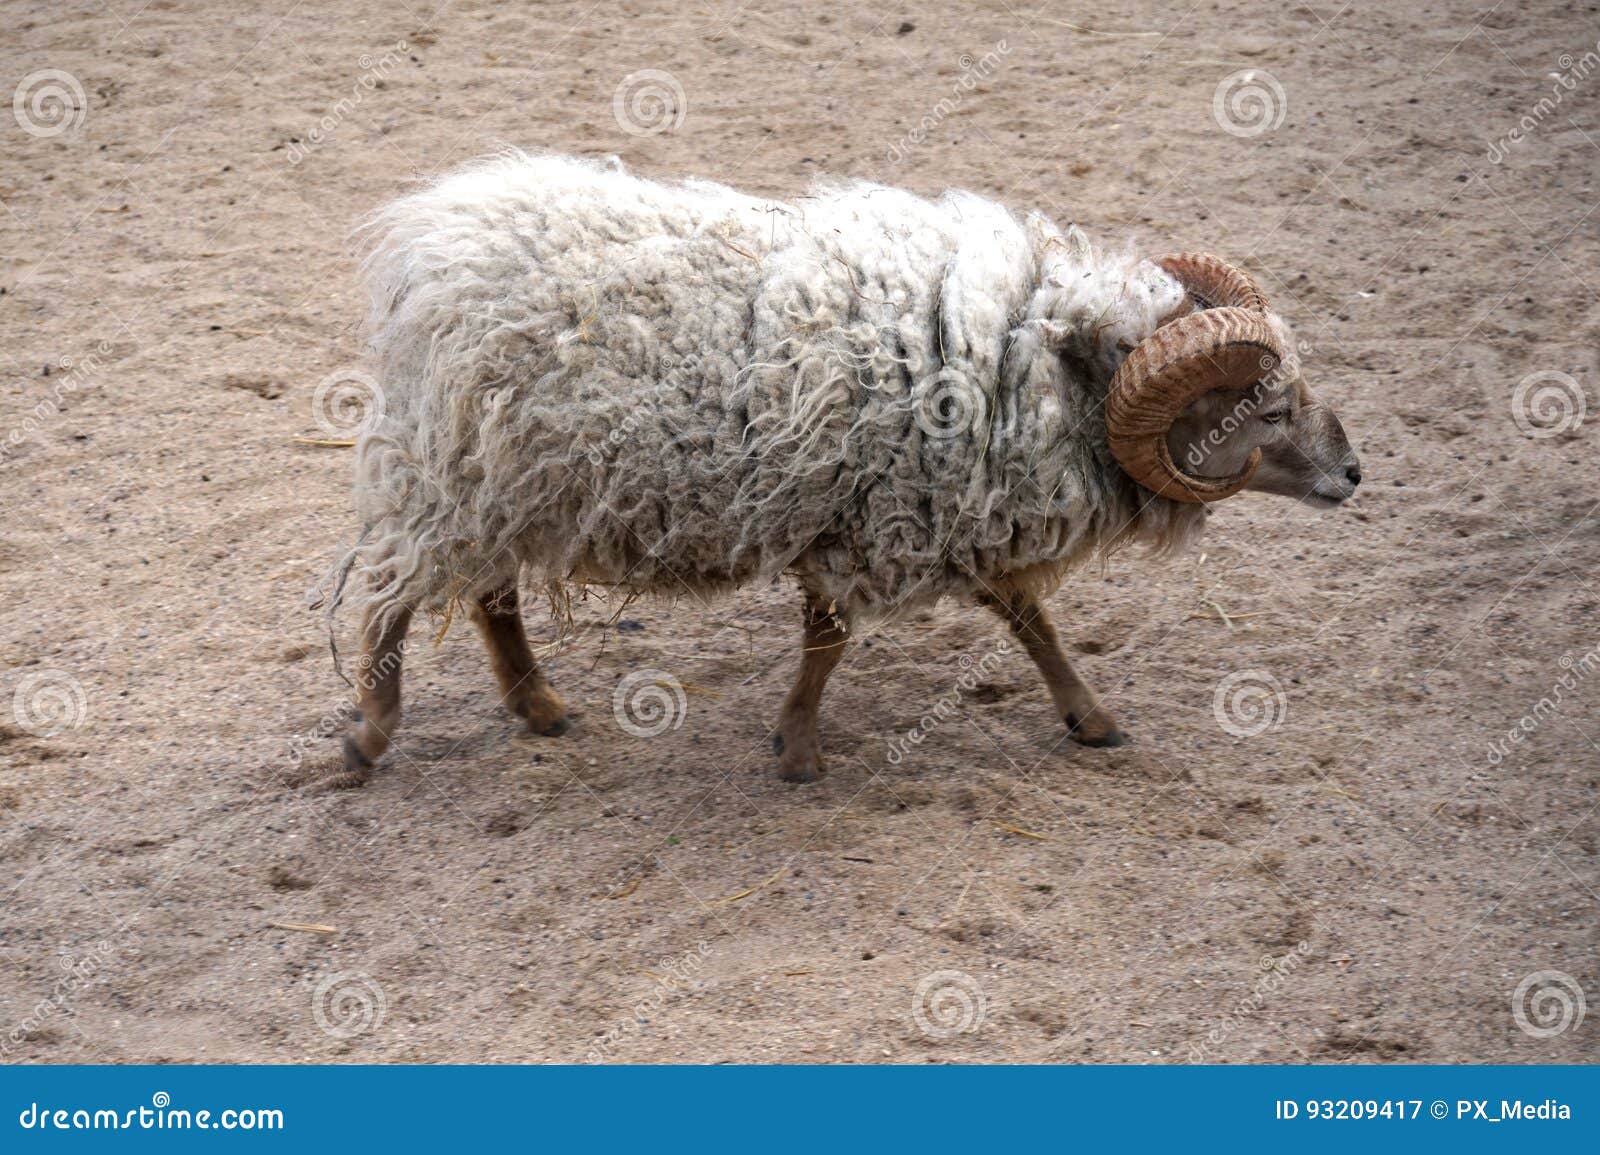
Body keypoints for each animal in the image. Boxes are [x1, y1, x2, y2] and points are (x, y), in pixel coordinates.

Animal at [335, 151, 1361, 784]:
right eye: (1261, 408)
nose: (1354, 473)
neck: (1022, 363)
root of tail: (425, 243)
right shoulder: (879, 515)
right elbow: (834, 638)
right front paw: (798, 750)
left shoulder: (933, 512)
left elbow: (1027, 619)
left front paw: (1089, 715)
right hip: (459, 472)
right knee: (393, 592)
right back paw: (370, 733)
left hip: (509, 479)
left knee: (488, 593)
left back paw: (539, 706)